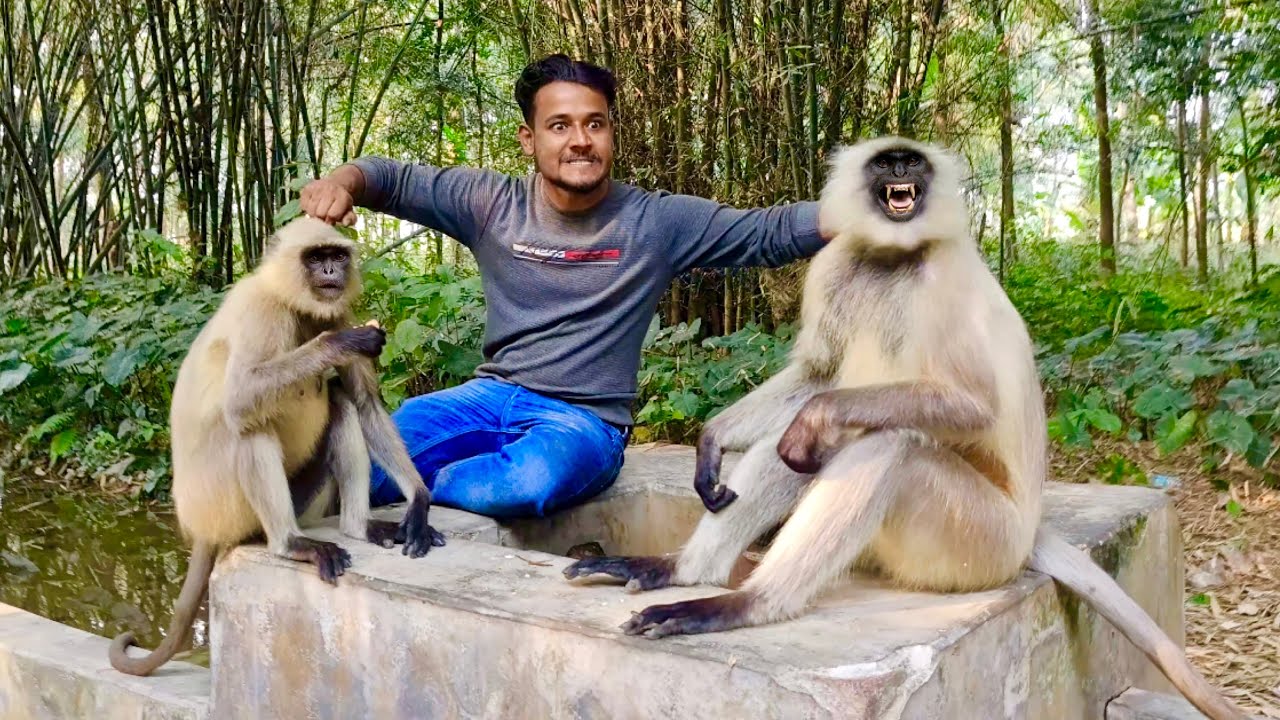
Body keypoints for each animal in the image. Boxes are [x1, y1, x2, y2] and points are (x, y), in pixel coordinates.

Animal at [109, 216, 445, 677]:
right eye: (315, 258)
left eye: (336, 256)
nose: (330, 272)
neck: (295, 304)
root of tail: (202, 528)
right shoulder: (261, 310)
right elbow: (241, 400)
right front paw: (338, 345)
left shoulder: (339, 310)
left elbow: (365, 403)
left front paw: (418, 502)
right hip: (232, 512)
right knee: (249, 425)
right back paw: (289, 544)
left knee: (341, 401)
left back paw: (358, 525)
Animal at [564, 137, 1247, 720]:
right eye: (886, 164)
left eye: (911, 163)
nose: (899, 174)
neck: (894, 256)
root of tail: (1027, 531)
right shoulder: (837, 261)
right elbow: (816, 374)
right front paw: (713, 441)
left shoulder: (945, 276)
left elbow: (967, 406)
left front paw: (811, 423)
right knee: (818, 444)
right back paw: (685, 574)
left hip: (980, 542)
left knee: (887, 441)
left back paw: (748, 603)